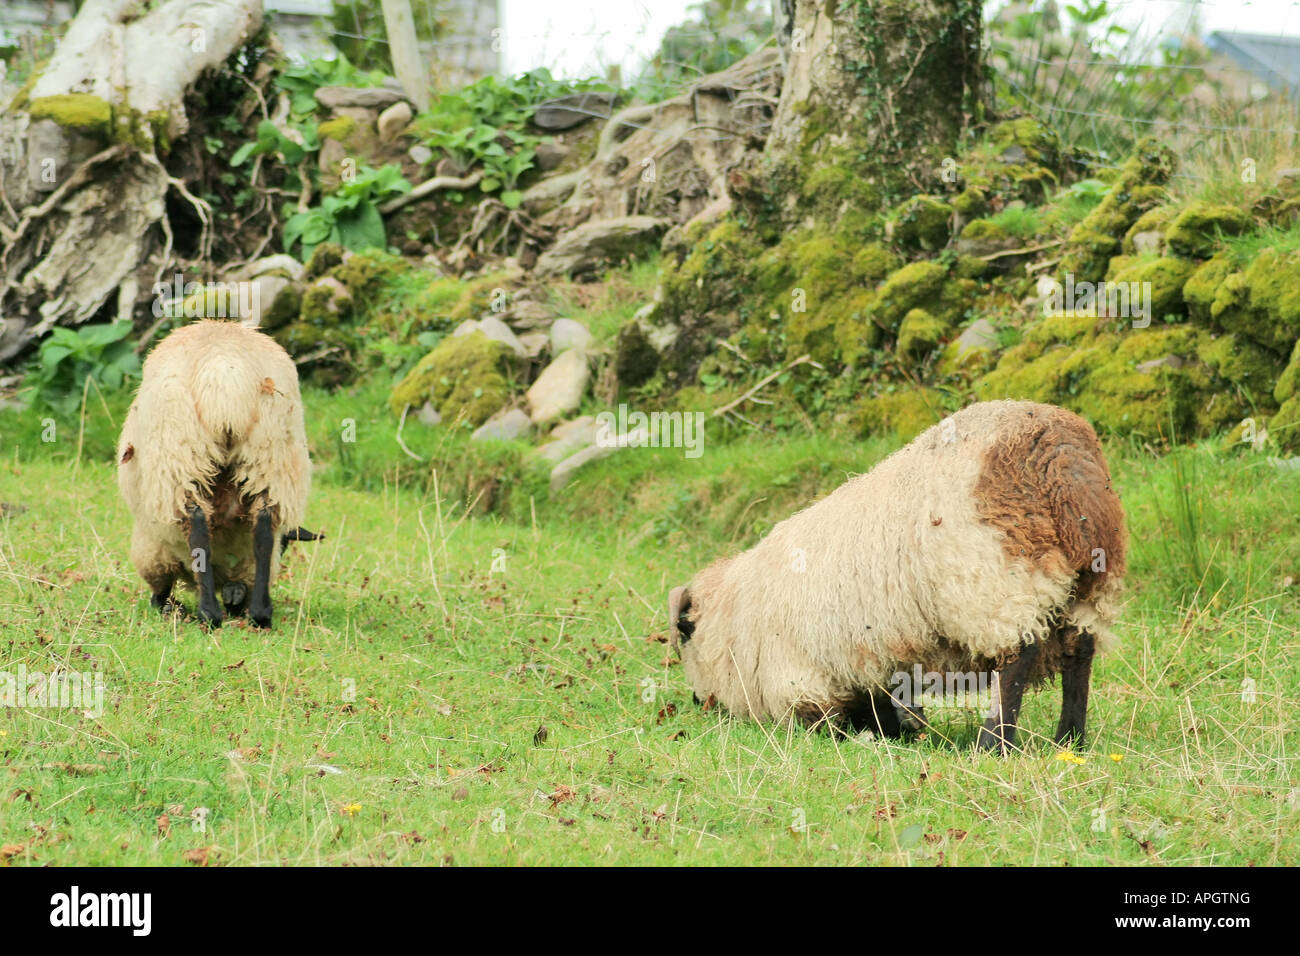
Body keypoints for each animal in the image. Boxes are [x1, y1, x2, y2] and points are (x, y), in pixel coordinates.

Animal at [116, 320, 314, 628]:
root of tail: (225, 372)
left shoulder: (152, 547)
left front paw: (166, 604)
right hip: (271, 453)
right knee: (264, 527)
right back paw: (260, 613)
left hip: (182, 453)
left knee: (197, 527)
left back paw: (208, 613)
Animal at [667, 399, 1126, 753]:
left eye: (686, 636)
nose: (695, 699)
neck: (734, 620)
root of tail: (1059, 459)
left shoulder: (799, 680)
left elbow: (826, 718)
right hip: (1089, 584)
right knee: (1080, 655)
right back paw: (1070, 740)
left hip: (995, 583)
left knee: (1017, 660)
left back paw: (994, 745)